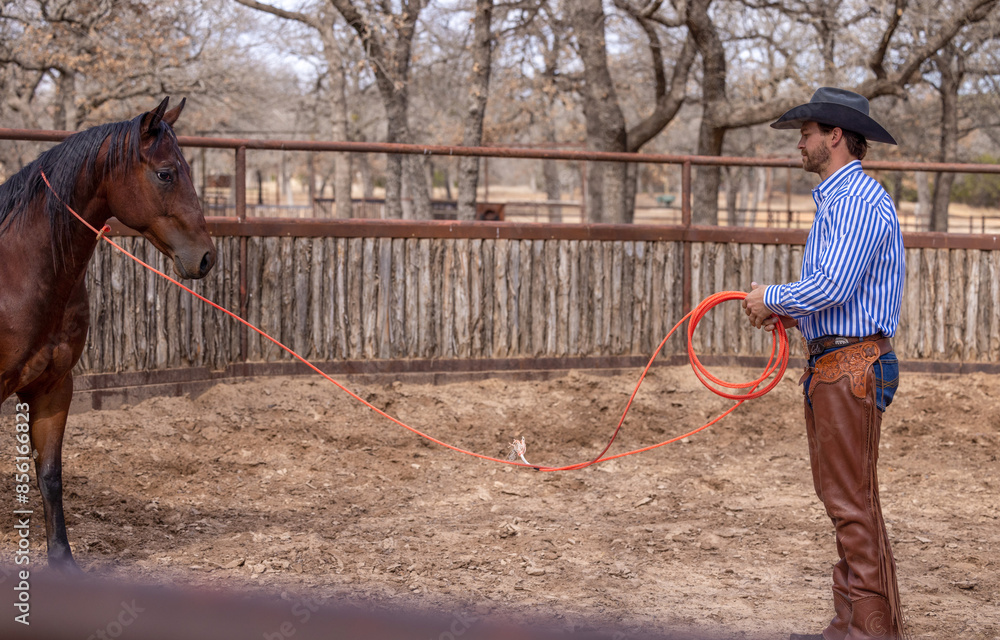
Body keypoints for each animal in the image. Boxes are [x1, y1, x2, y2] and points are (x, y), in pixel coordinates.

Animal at [0, 97, 216, 572]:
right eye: (166, 173)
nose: (207, 257)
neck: (16, 272)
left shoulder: (54, 387)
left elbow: (50, 476)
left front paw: (63, 562)